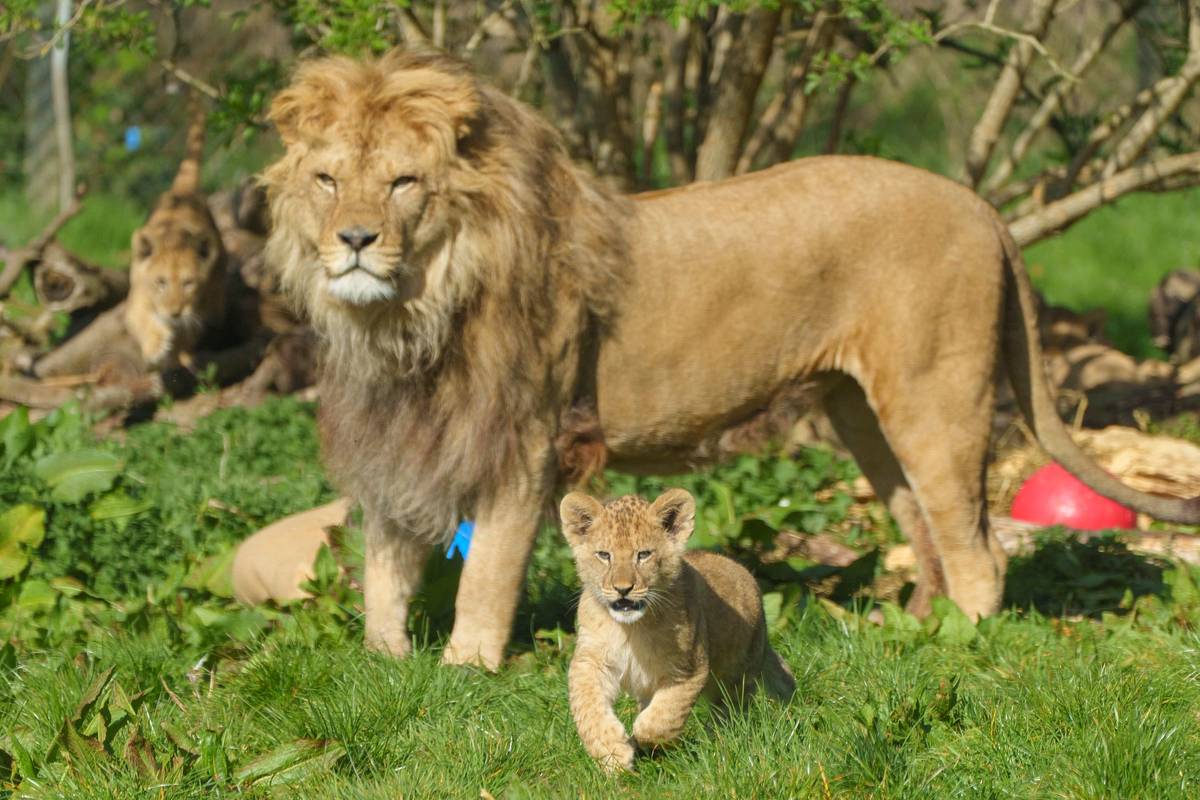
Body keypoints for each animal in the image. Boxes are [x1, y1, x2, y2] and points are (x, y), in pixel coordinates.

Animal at [260, 50, 1200, 669]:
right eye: (328, 179)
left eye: (404, 183)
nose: (354, 240)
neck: (406, 316)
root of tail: (980, 203)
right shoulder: (397, 442)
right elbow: (385, 568)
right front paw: (383, 665)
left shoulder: (525, 447)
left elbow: (485, 575)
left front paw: (465, 672)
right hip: (860, 410)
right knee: (922, 523)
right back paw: (906, 627)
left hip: (937, 398)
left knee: (978, 547)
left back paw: (963, 641)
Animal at [561, 489, 794, 772]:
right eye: (604, 555)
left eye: (643, 555)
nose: (622, 589)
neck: (631, 629)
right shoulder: (590, 662)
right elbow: (588, 708)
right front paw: (612, 753)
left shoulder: (688, 668)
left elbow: (663, 717)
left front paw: (645, 739)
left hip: (736, 675)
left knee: (731, 708)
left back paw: (717, 739)